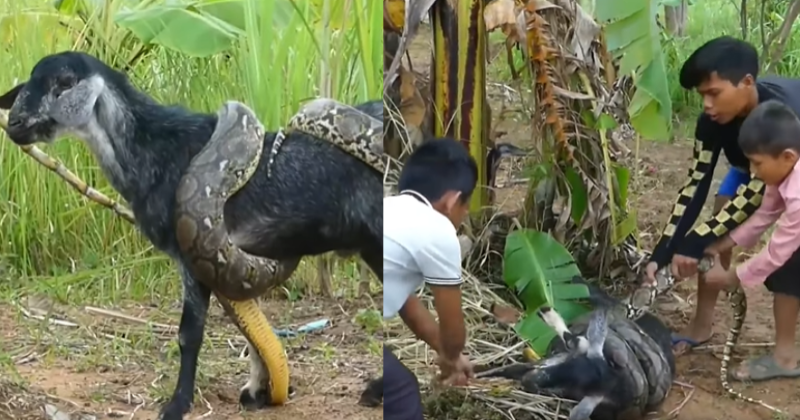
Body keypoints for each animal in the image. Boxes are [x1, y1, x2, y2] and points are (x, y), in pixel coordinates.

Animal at [0, 51, 382, 420]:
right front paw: (258, 391)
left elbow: (189, 334)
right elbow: (250, 331)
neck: (159, 150)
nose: (15, 124)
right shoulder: (232, 268)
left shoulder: (193, 255)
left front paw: (177, 404)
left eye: (65, 82)